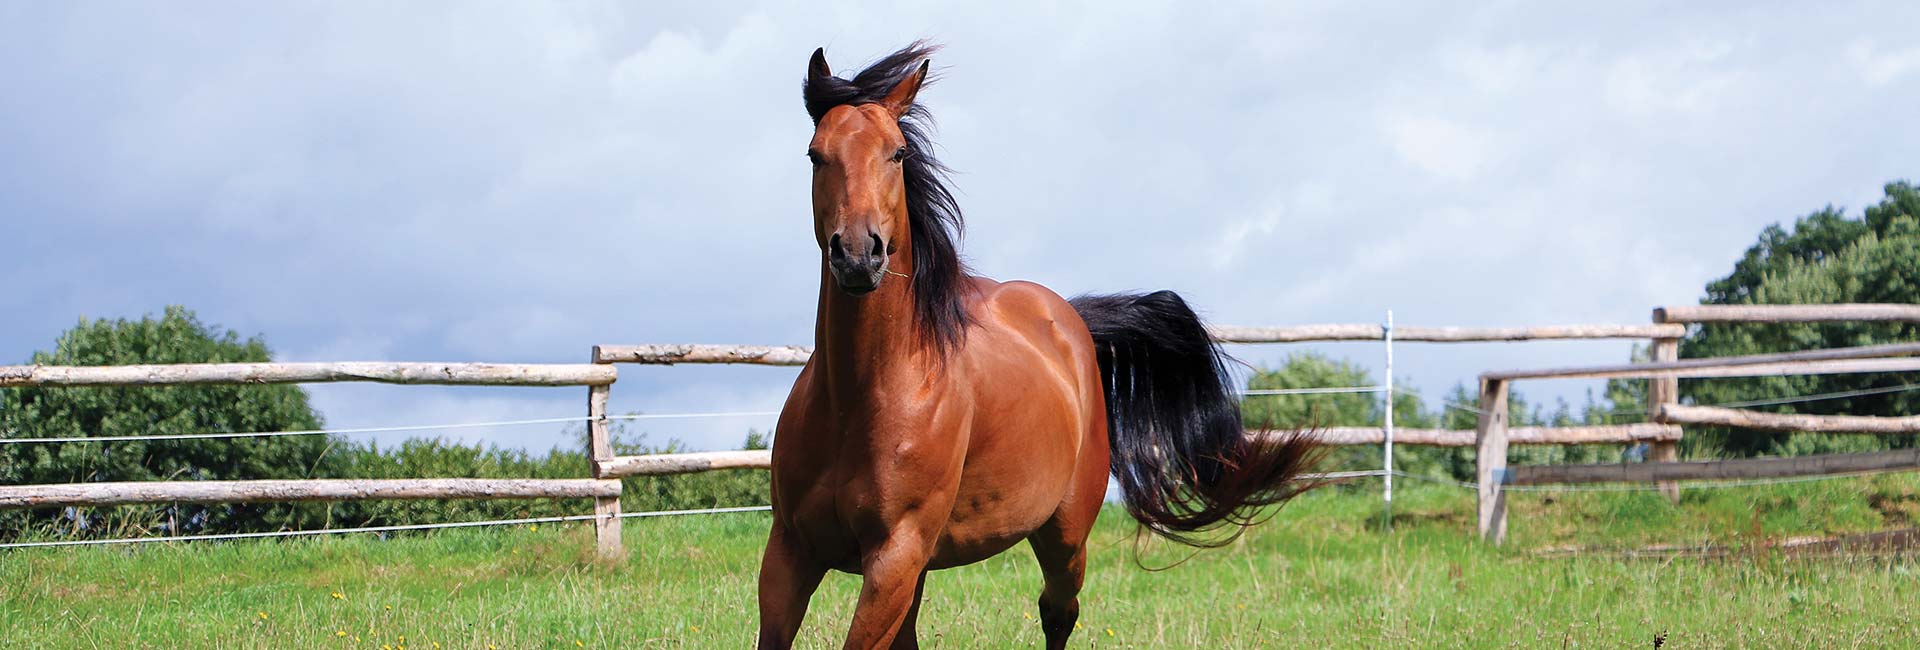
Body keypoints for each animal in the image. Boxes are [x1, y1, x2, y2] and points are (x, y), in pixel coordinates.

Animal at [759, 42, 1319, 649]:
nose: (860, 255)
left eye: (898, 154)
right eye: (816, 155)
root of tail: (1070, 321)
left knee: (1058, 611)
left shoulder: (893, 557)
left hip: (1063, 536)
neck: (860, 397)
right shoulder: (791, 551)